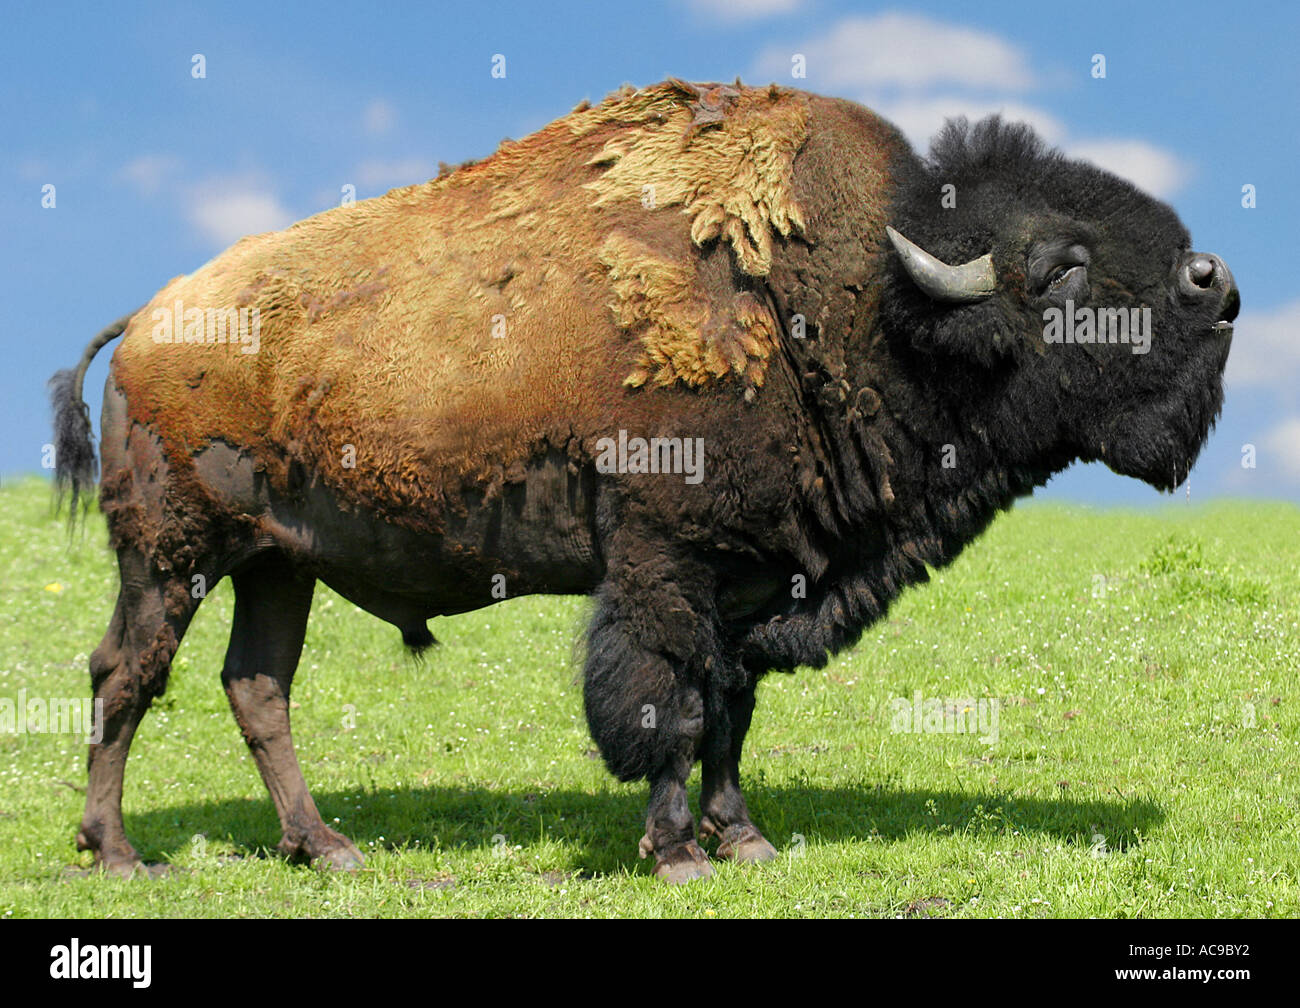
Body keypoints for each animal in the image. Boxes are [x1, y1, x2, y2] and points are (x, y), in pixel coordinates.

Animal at [50, 79, 1238, 883]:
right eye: (1064, 264)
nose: (1214, 284)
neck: (856, 300)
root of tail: (146, 320)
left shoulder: (757, 574)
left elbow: (730, 707)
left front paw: (744, 838)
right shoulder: (665, 563)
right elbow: (666, 700)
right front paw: (677, 853)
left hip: (277, 566)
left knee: (257, 687)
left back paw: (325, 847)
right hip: (171, 556)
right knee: (127, 675)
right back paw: (120, 854)